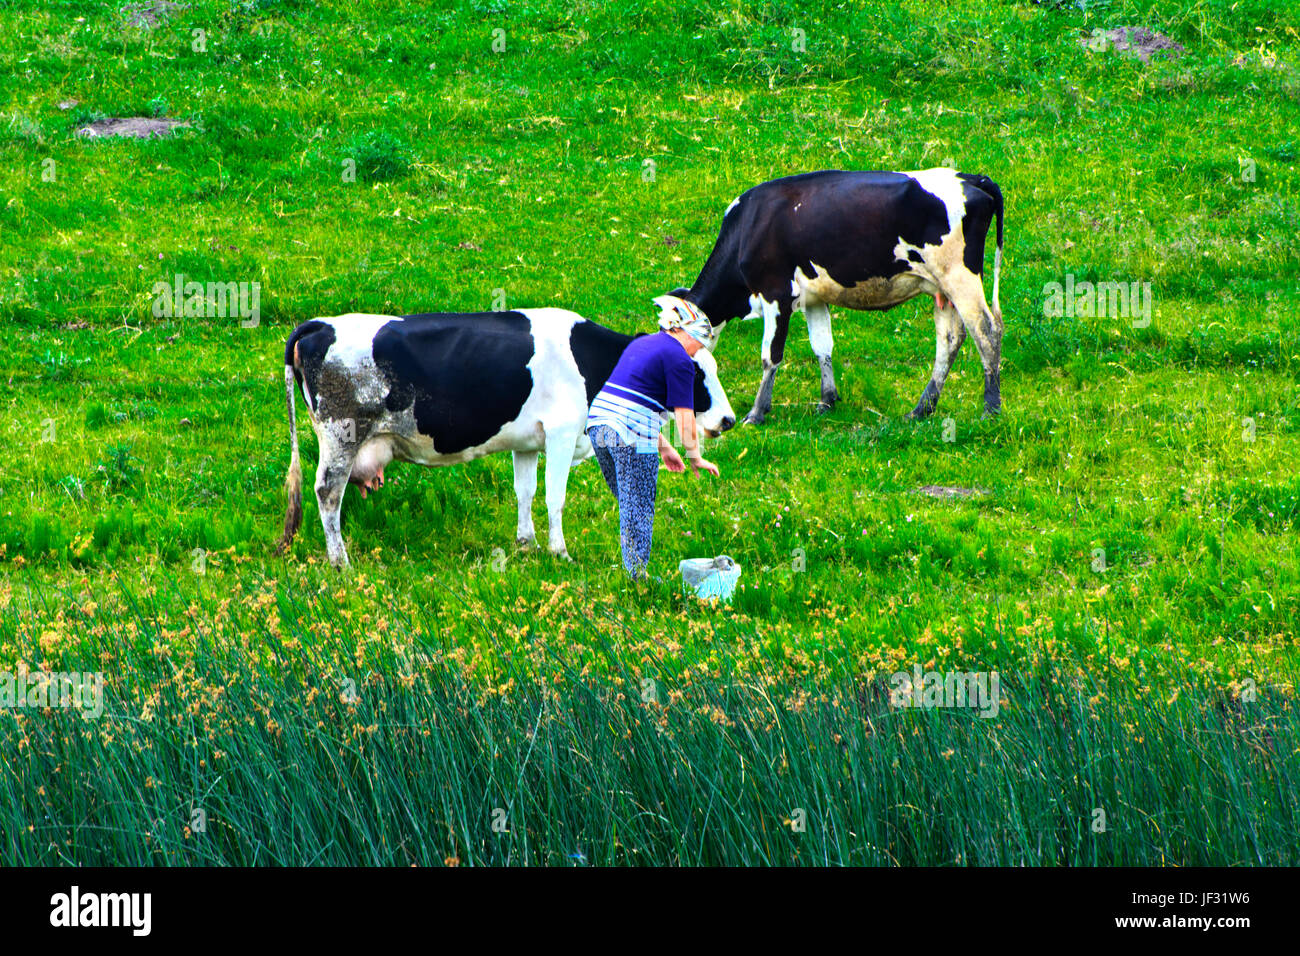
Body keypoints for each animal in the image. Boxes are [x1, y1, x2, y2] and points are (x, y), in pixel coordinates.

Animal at [274, 309, 736, 568]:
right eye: (694, 372)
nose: (729, 419)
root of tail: (320, 326)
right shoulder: (562, 432)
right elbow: (554, 497)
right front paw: (559, 552)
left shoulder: (526, 442)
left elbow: (525, 491)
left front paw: (526, 544)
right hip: (342, 434)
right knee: (327, 493)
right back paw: (341, 562)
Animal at [659, 168, 1005, 424]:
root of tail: (970, 177)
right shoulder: (813, 298)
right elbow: (822, 347)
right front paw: (827, 400)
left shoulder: (776, 293)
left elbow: (770, 355)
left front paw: (757, 413)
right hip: (942, 289)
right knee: (950, 339)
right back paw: (921, 409)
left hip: (959, 277)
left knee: (987, 332)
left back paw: (990, 409)